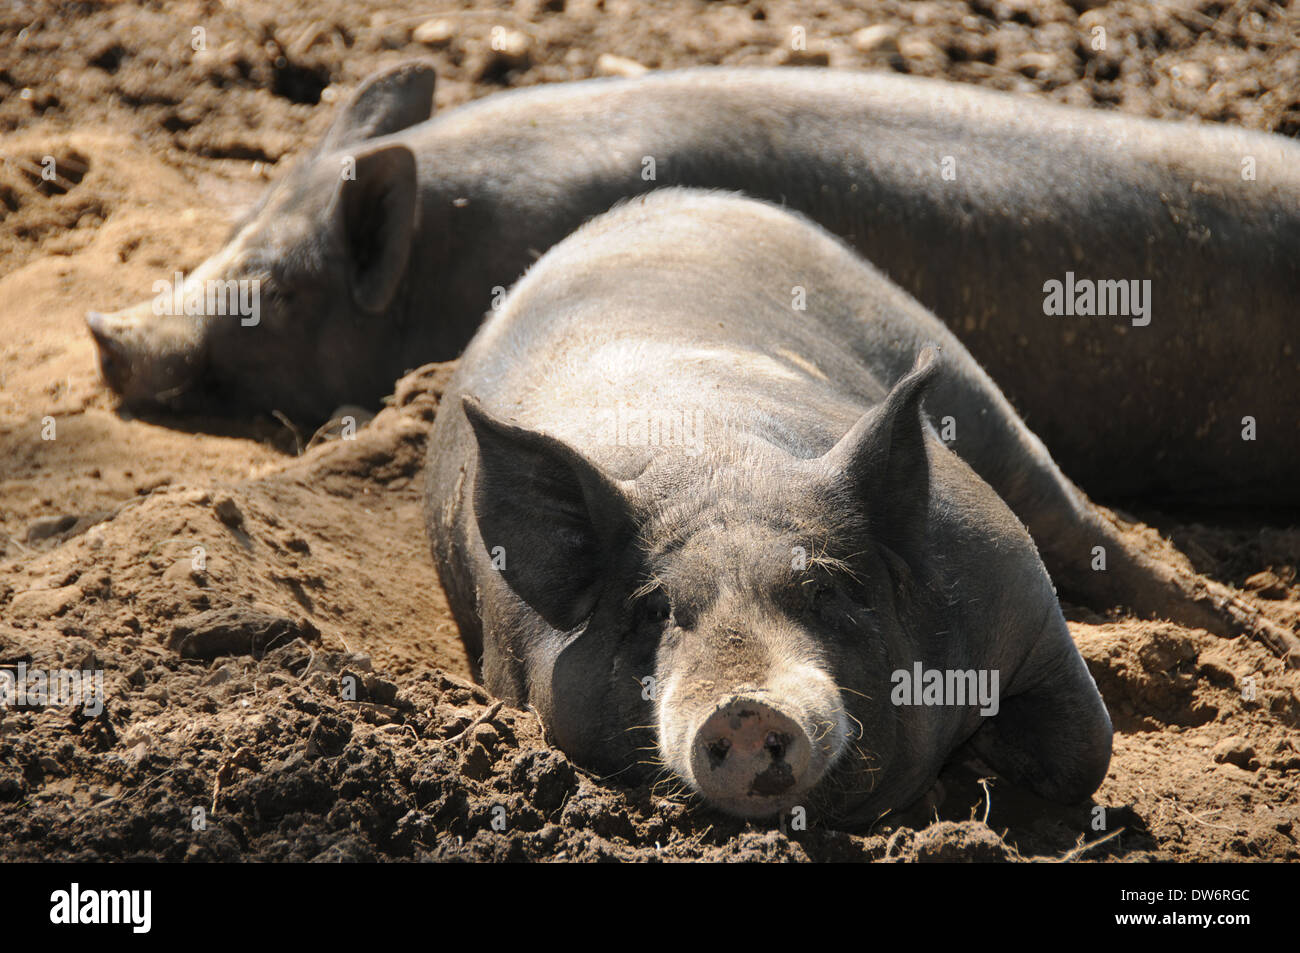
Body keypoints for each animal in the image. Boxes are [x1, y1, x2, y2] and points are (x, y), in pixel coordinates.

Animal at [423, 188, 1123, 821]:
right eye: (655, 611)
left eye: (822, 589)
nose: (744, 708)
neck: (713, 456)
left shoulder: (1019, 590)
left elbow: (1087, 751)